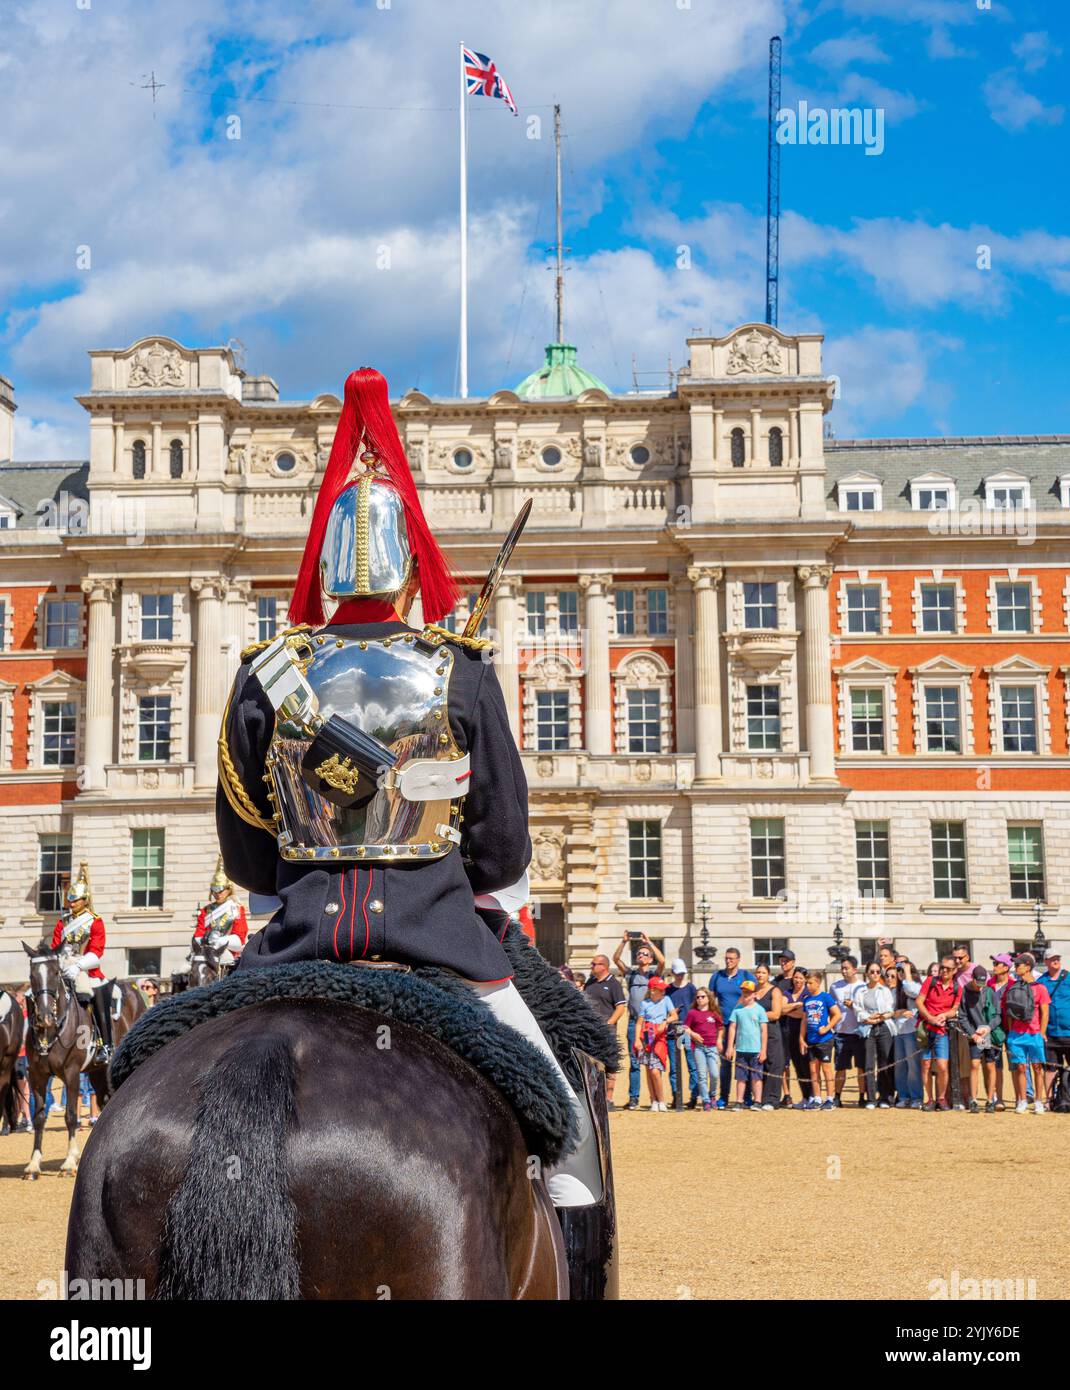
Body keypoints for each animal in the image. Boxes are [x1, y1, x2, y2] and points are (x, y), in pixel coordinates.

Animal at [21, 943, 146, 1180]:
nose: (44, 1017)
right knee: (106, 1101)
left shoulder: (71, 1073)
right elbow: (39, 1116)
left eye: (56, 973)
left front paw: (70, 1162)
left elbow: (71, 1115)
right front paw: (33, 1164)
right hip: (98, 1071)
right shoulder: (37, 1076)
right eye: (32, 975)